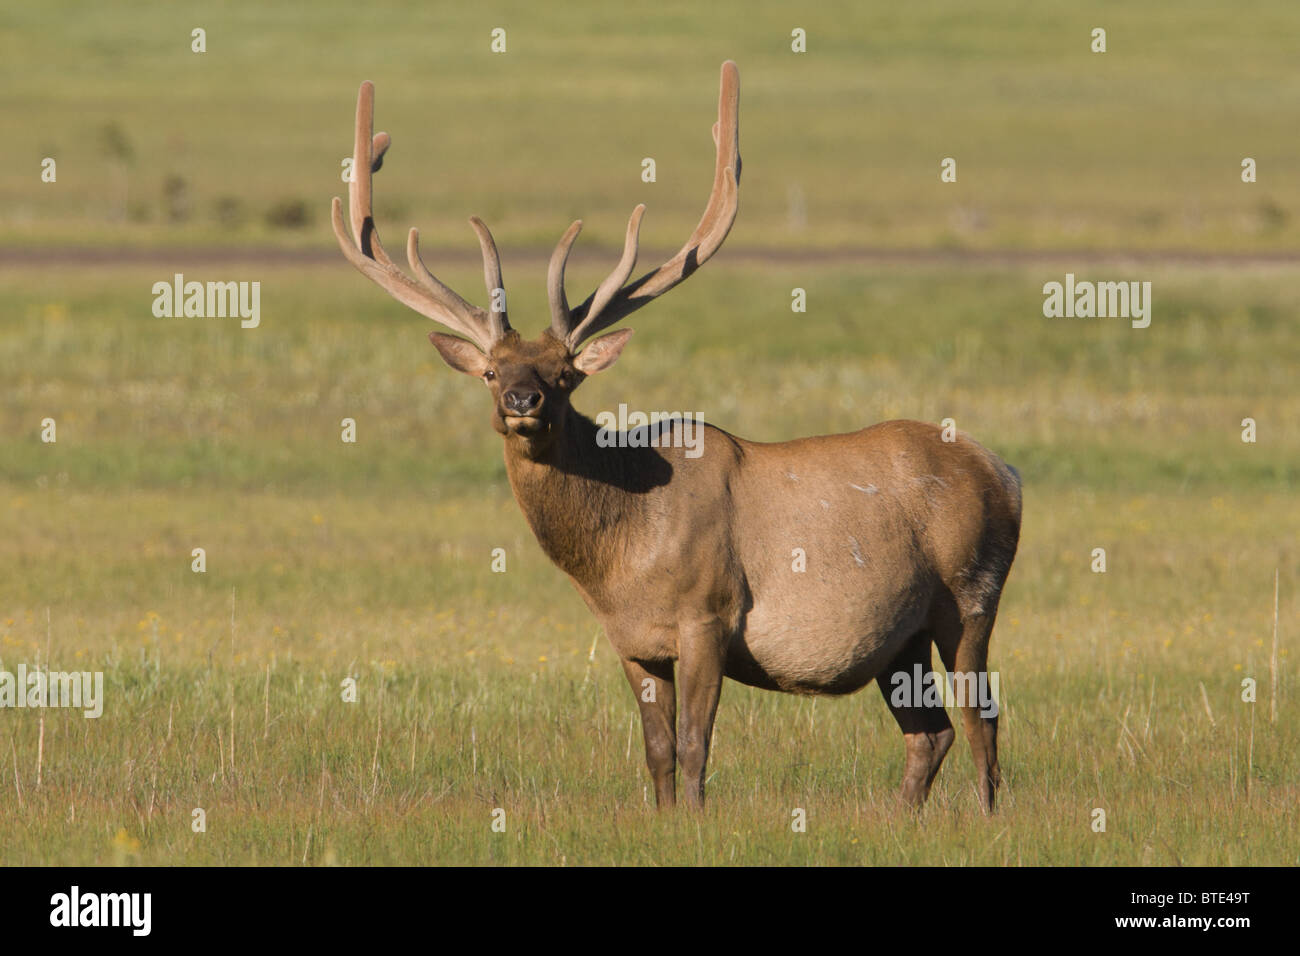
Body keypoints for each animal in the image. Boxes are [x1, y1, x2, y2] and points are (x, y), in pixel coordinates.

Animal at [330, 61, 1022, 813]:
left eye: (566, 373)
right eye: (490, 371)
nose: (523, 401)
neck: (617, 559)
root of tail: (1006, 472)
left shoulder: (708, 614)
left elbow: (695, 745)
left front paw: (695, 818)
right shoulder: (632, 641)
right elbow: (657, 751)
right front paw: (665, 817)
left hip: (971, 594)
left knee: (980, 717)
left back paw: (986, 817)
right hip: (900, 639)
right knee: (930, 731)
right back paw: (903, 820)